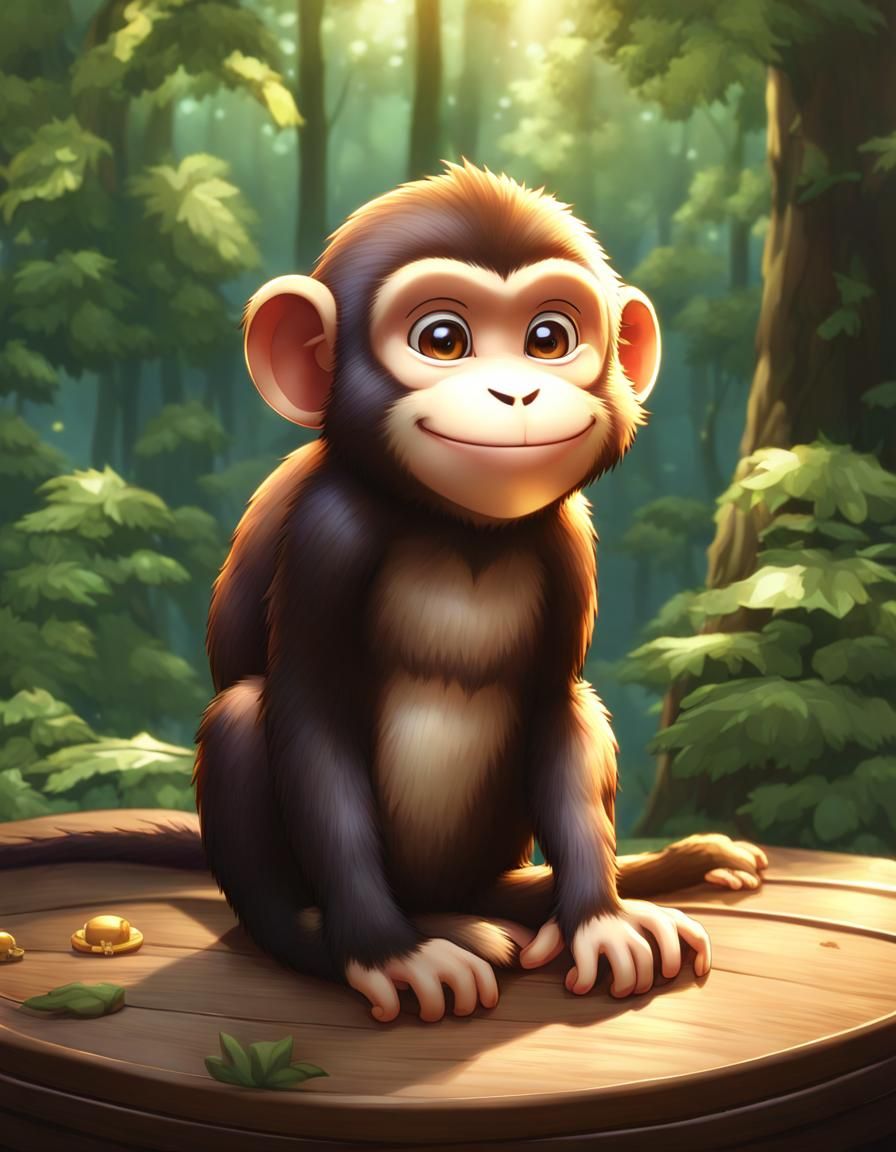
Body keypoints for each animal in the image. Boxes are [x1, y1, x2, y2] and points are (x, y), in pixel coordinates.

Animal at [0, 163, 767, 1023]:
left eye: (548, 339)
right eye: (443, 340)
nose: (518, 395)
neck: (460, 530)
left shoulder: (567, 538)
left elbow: (556, 708)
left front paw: (601, 920)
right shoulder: (329, 534)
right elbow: (312, 718)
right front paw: (389, 955)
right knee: (242, 720)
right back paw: (341, 936)